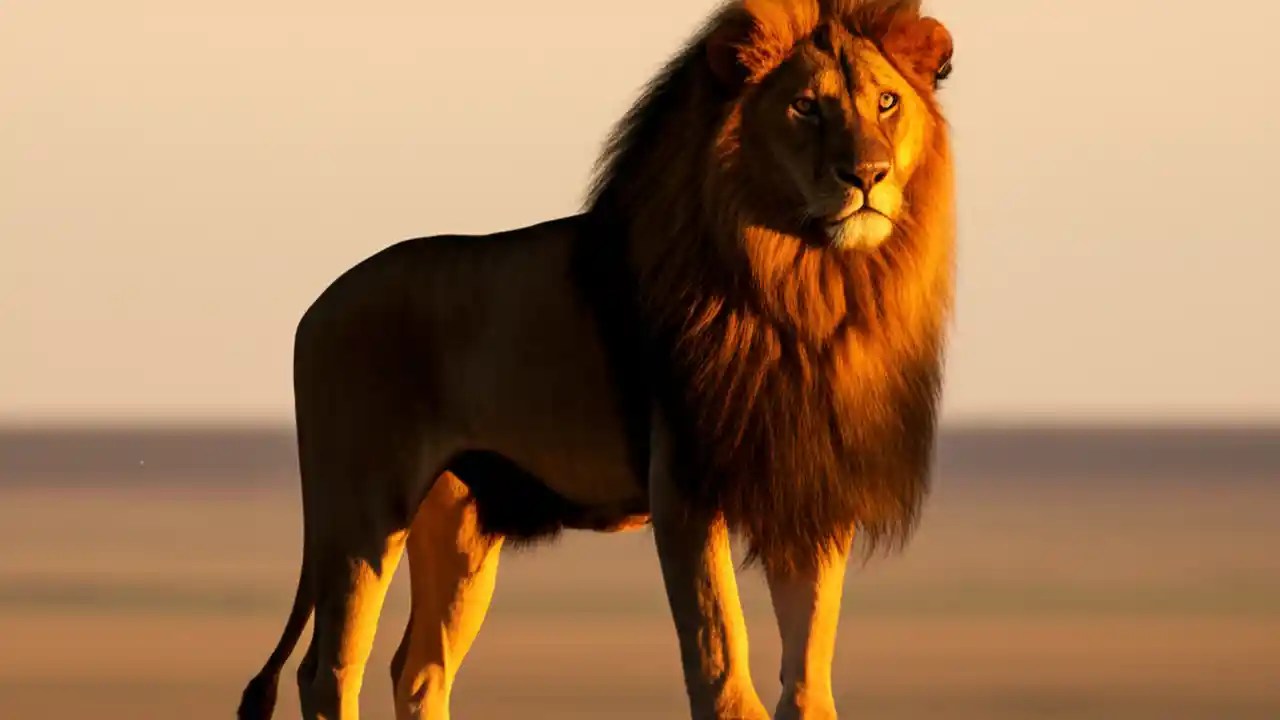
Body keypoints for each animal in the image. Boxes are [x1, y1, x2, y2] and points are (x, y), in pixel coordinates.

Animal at [238, 1, 956, 718]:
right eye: (806, 107)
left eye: (887, 102)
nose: (867, 176)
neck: (810, 286)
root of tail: (316, 307)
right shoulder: (683, 484)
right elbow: (719, 649)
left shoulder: (808, 487)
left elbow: (809, 659)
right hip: (362, 511)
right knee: (328, 670)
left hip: (459, 527)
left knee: (417, 668)